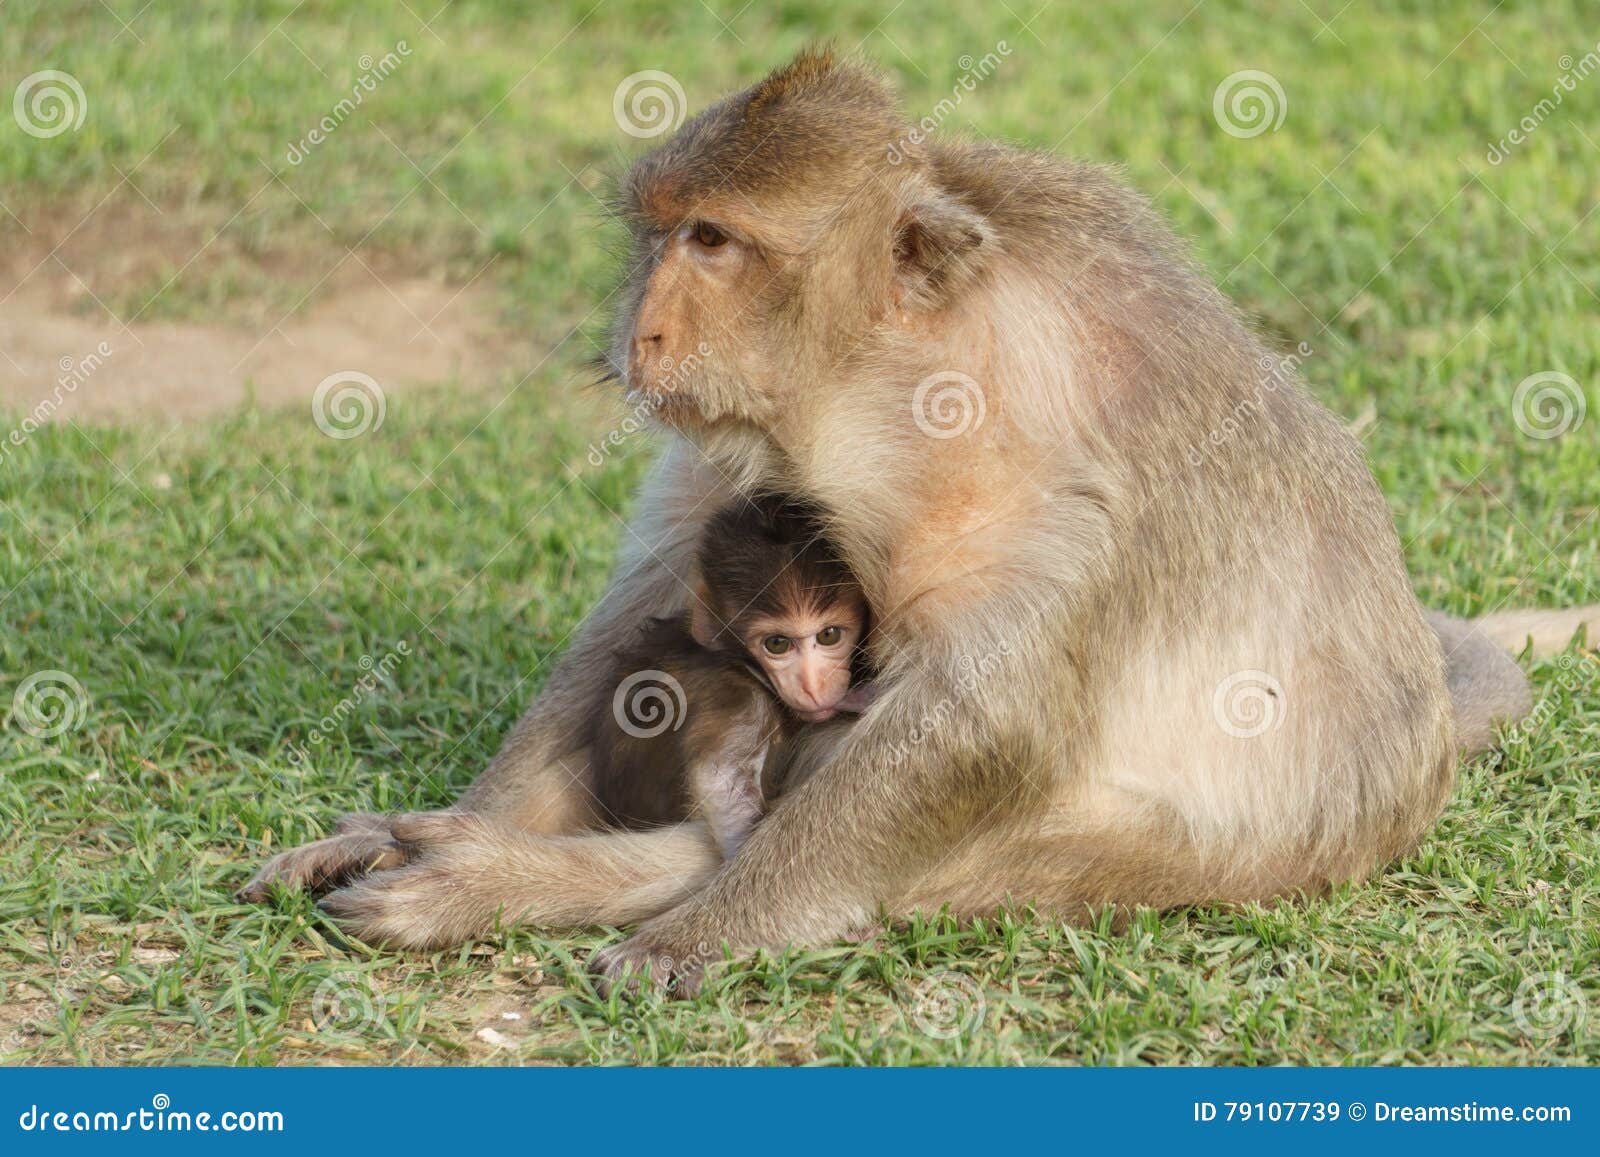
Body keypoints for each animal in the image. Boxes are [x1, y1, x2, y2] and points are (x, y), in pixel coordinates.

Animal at [588, 494, 872, 860]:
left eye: (828, 636)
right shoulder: (737, 700)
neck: (738, 663)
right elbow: (721, 780)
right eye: (777, 644)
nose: (812, 685)